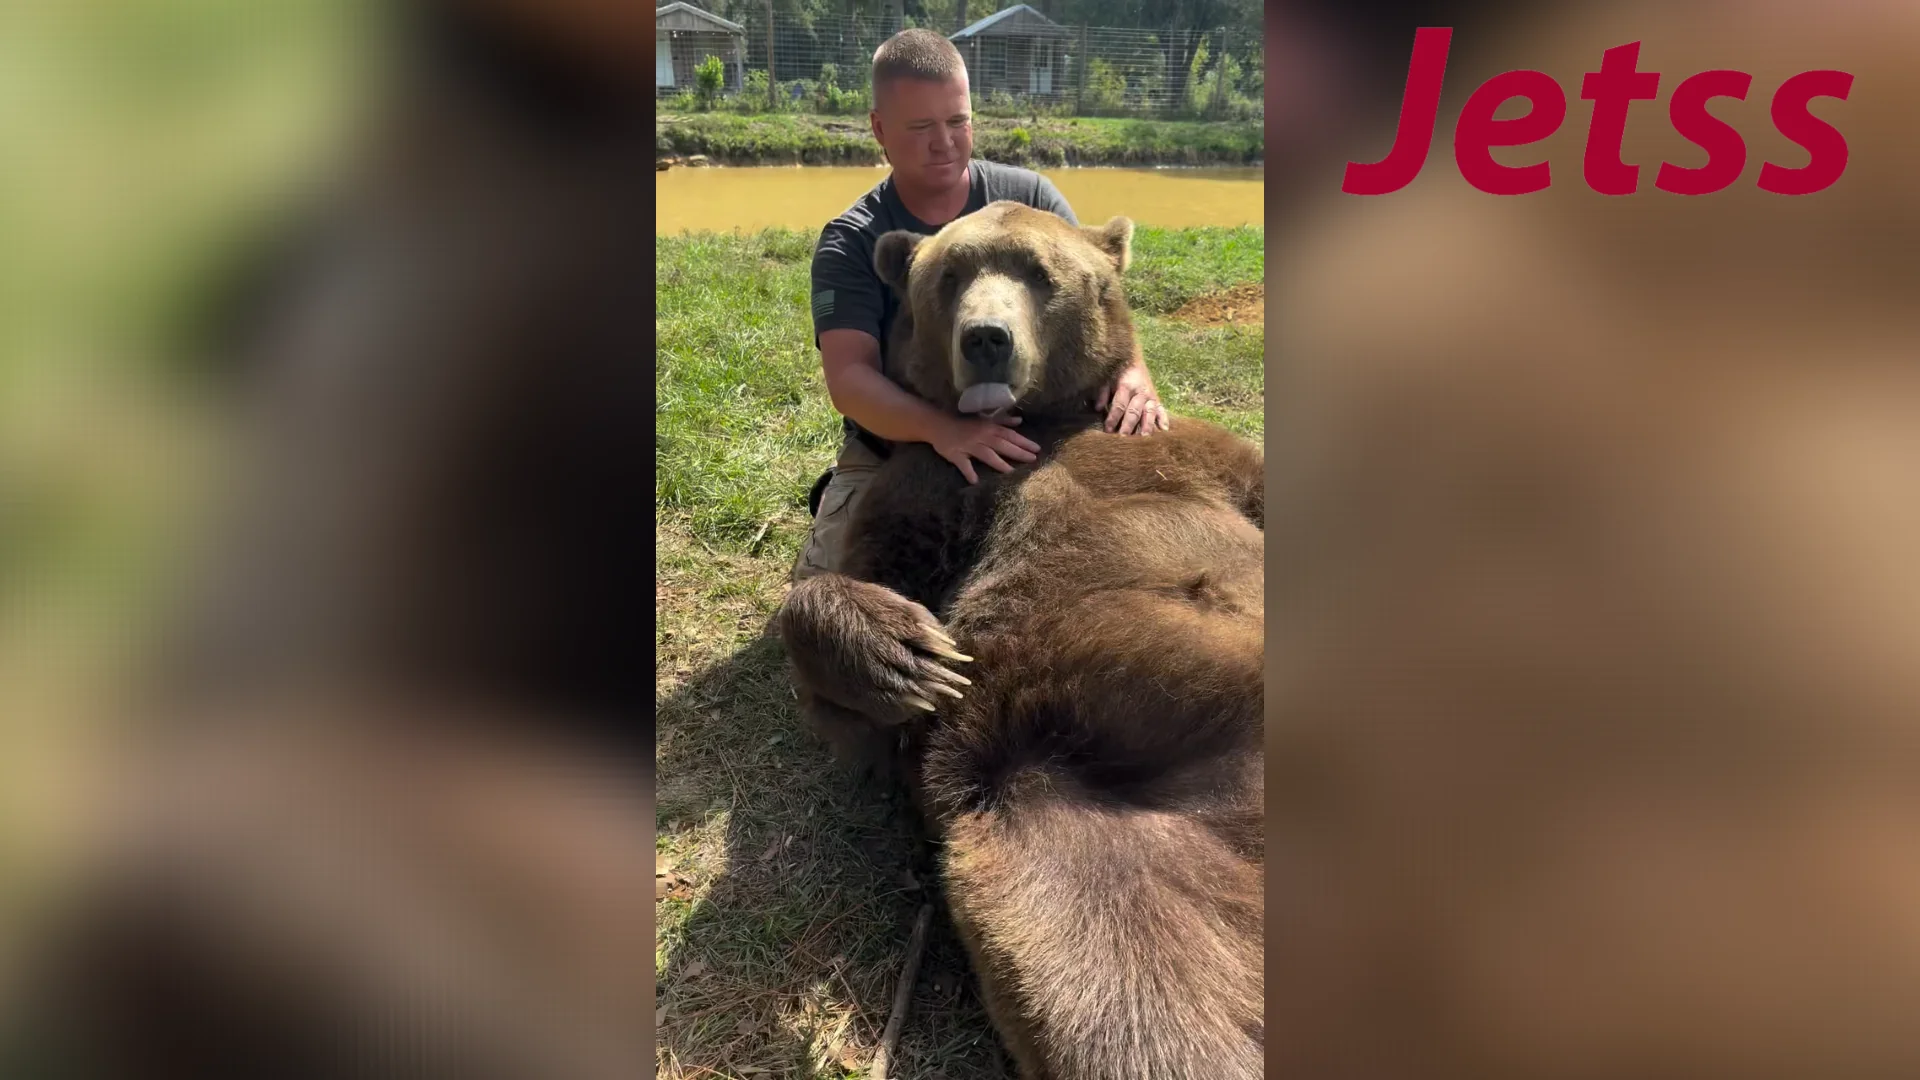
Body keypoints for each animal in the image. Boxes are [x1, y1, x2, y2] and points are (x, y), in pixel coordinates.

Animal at [775, 201, 1266, 1080]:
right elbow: (864, 607)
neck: (1036, 424)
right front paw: (909, 656)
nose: (987, 339)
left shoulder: (1180, 448)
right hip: (1087, 854)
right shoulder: (941, 483)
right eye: (949, 275)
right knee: (1149, 1015)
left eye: (1041, 273)